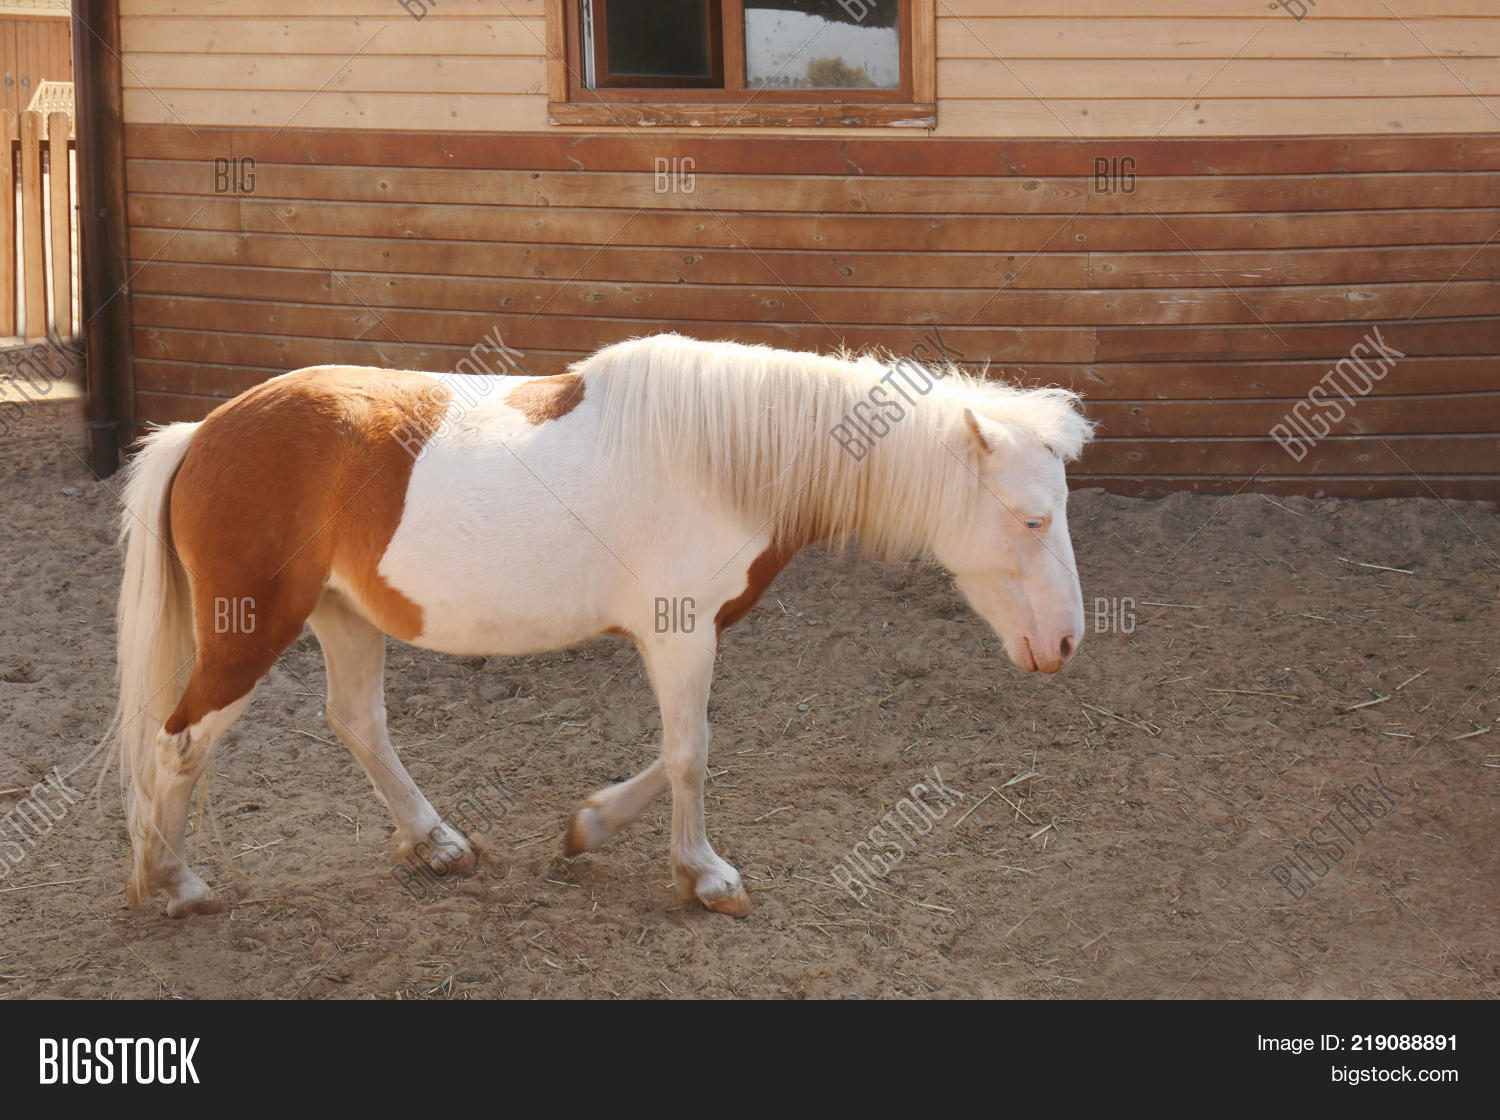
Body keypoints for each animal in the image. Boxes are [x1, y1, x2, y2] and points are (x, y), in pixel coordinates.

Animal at [105, 333, 1093, 919]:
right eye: (1033, 520)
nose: (1065, 643)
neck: (717, 459)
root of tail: (202, 432)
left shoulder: (677, 639)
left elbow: (675, 749)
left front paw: (588, 828)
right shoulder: (684, 635)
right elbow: (692, 751)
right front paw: (704, 876)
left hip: (343, 619)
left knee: (357, 723)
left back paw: (436, 844)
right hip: (250, 634)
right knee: (176, 745)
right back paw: (175, 883)